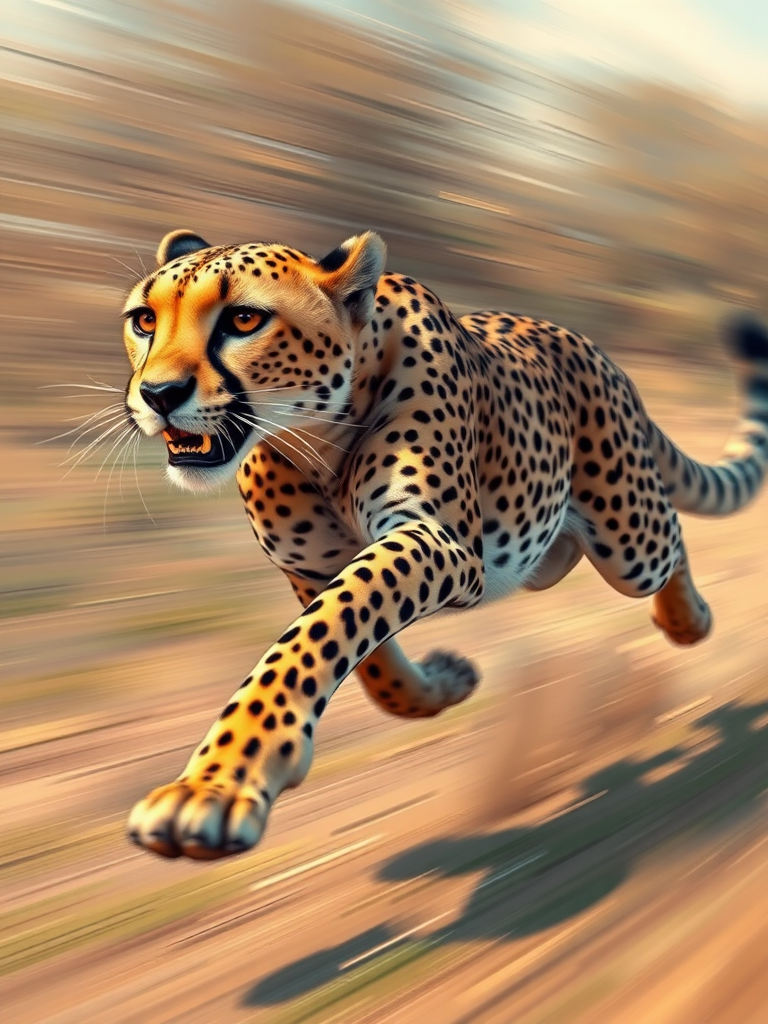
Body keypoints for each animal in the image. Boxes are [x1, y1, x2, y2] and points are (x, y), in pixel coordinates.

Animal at [122, 227, 768, 860]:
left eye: (243, 320)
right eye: (145, 321)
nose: (159, 394)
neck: (311, 442)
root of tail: (593, 349)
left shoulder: (436, 538)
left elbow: (320, 632)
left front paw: (214, 785)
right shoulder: (309, 567)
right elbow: (369, 664)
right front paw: (441, 685)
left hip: (630, 540)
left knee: (670, 539)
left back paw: (691, 620)